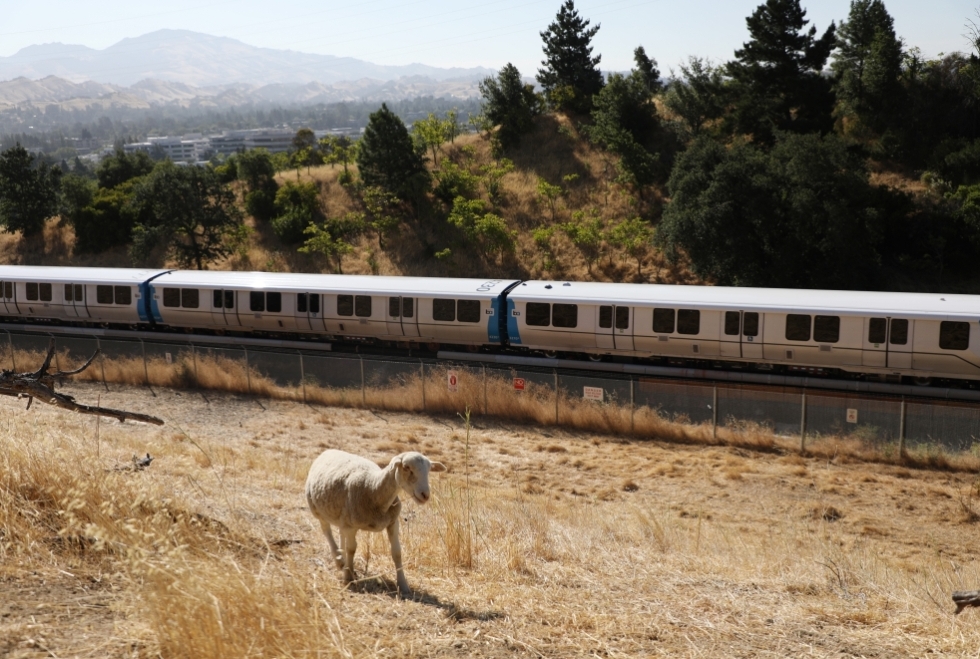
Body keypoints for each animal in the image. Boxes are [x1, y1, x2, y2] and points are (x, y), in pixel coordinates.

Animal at [305, 449, 446, 597]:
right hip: (317, 509)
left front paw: (403, 585)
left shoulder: (393, 523)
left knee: (340, 533)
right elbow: (351, 549)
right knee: (326, 531)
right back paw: (339, 560)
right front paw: (348, 577)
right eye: (406, 467)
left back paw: (343, 561)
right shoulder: (351, 526)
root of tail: (328, 451)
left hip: (342, 518)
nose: (425, 495)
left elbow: (397, 552)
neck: (373, 488)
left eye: (429, 470)